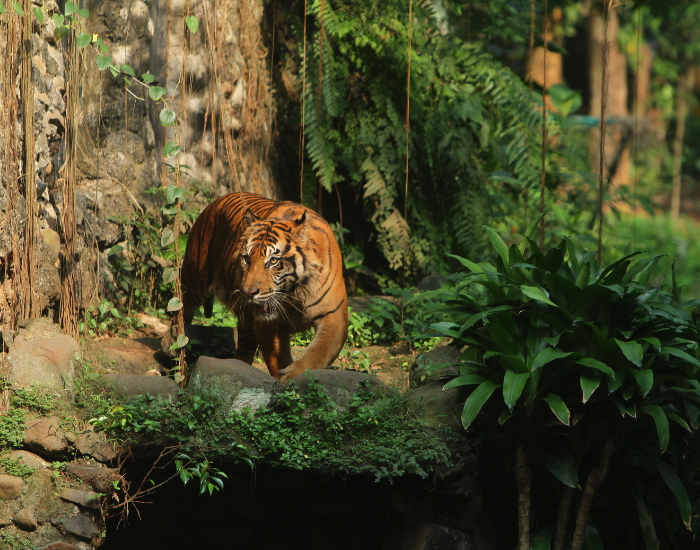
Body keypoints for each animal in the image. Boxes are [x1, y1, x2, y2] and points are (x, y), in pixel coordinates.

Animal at [180, 192, 348, 383]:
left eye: (273, 261)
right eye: (246, 258)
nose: (248, 292)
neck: (294, 293)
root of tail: (216, 200)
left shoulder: (333, 314)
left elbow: (317, 354)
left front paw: (294, 378)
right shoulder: (268, 323)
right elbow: (278, 359)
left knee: (244, 348)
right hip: (194, 282)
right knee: (180, 313)